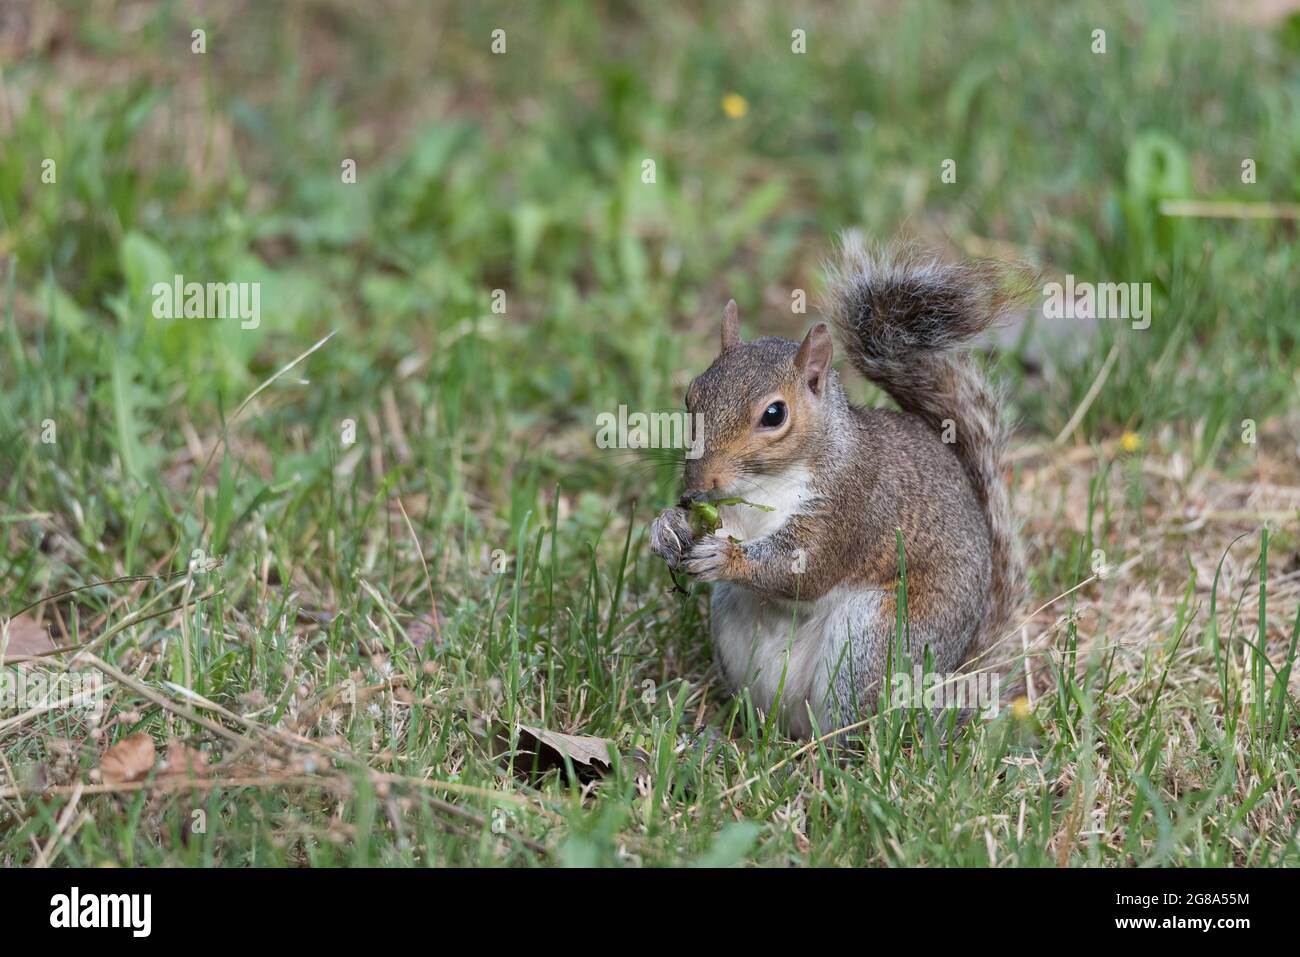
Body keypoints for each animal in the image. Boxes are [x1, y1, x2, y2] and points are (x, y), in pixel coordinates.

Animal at [649, 234, 1030, 739]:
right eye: (691, 394)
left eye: (774, 414)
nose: (695, 485)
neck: (764, 485)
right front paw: (667, 527)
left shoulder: (850, 505)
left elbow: (805, 571)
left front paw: (726, 557)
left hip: (876, 643)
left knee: (857, 728)